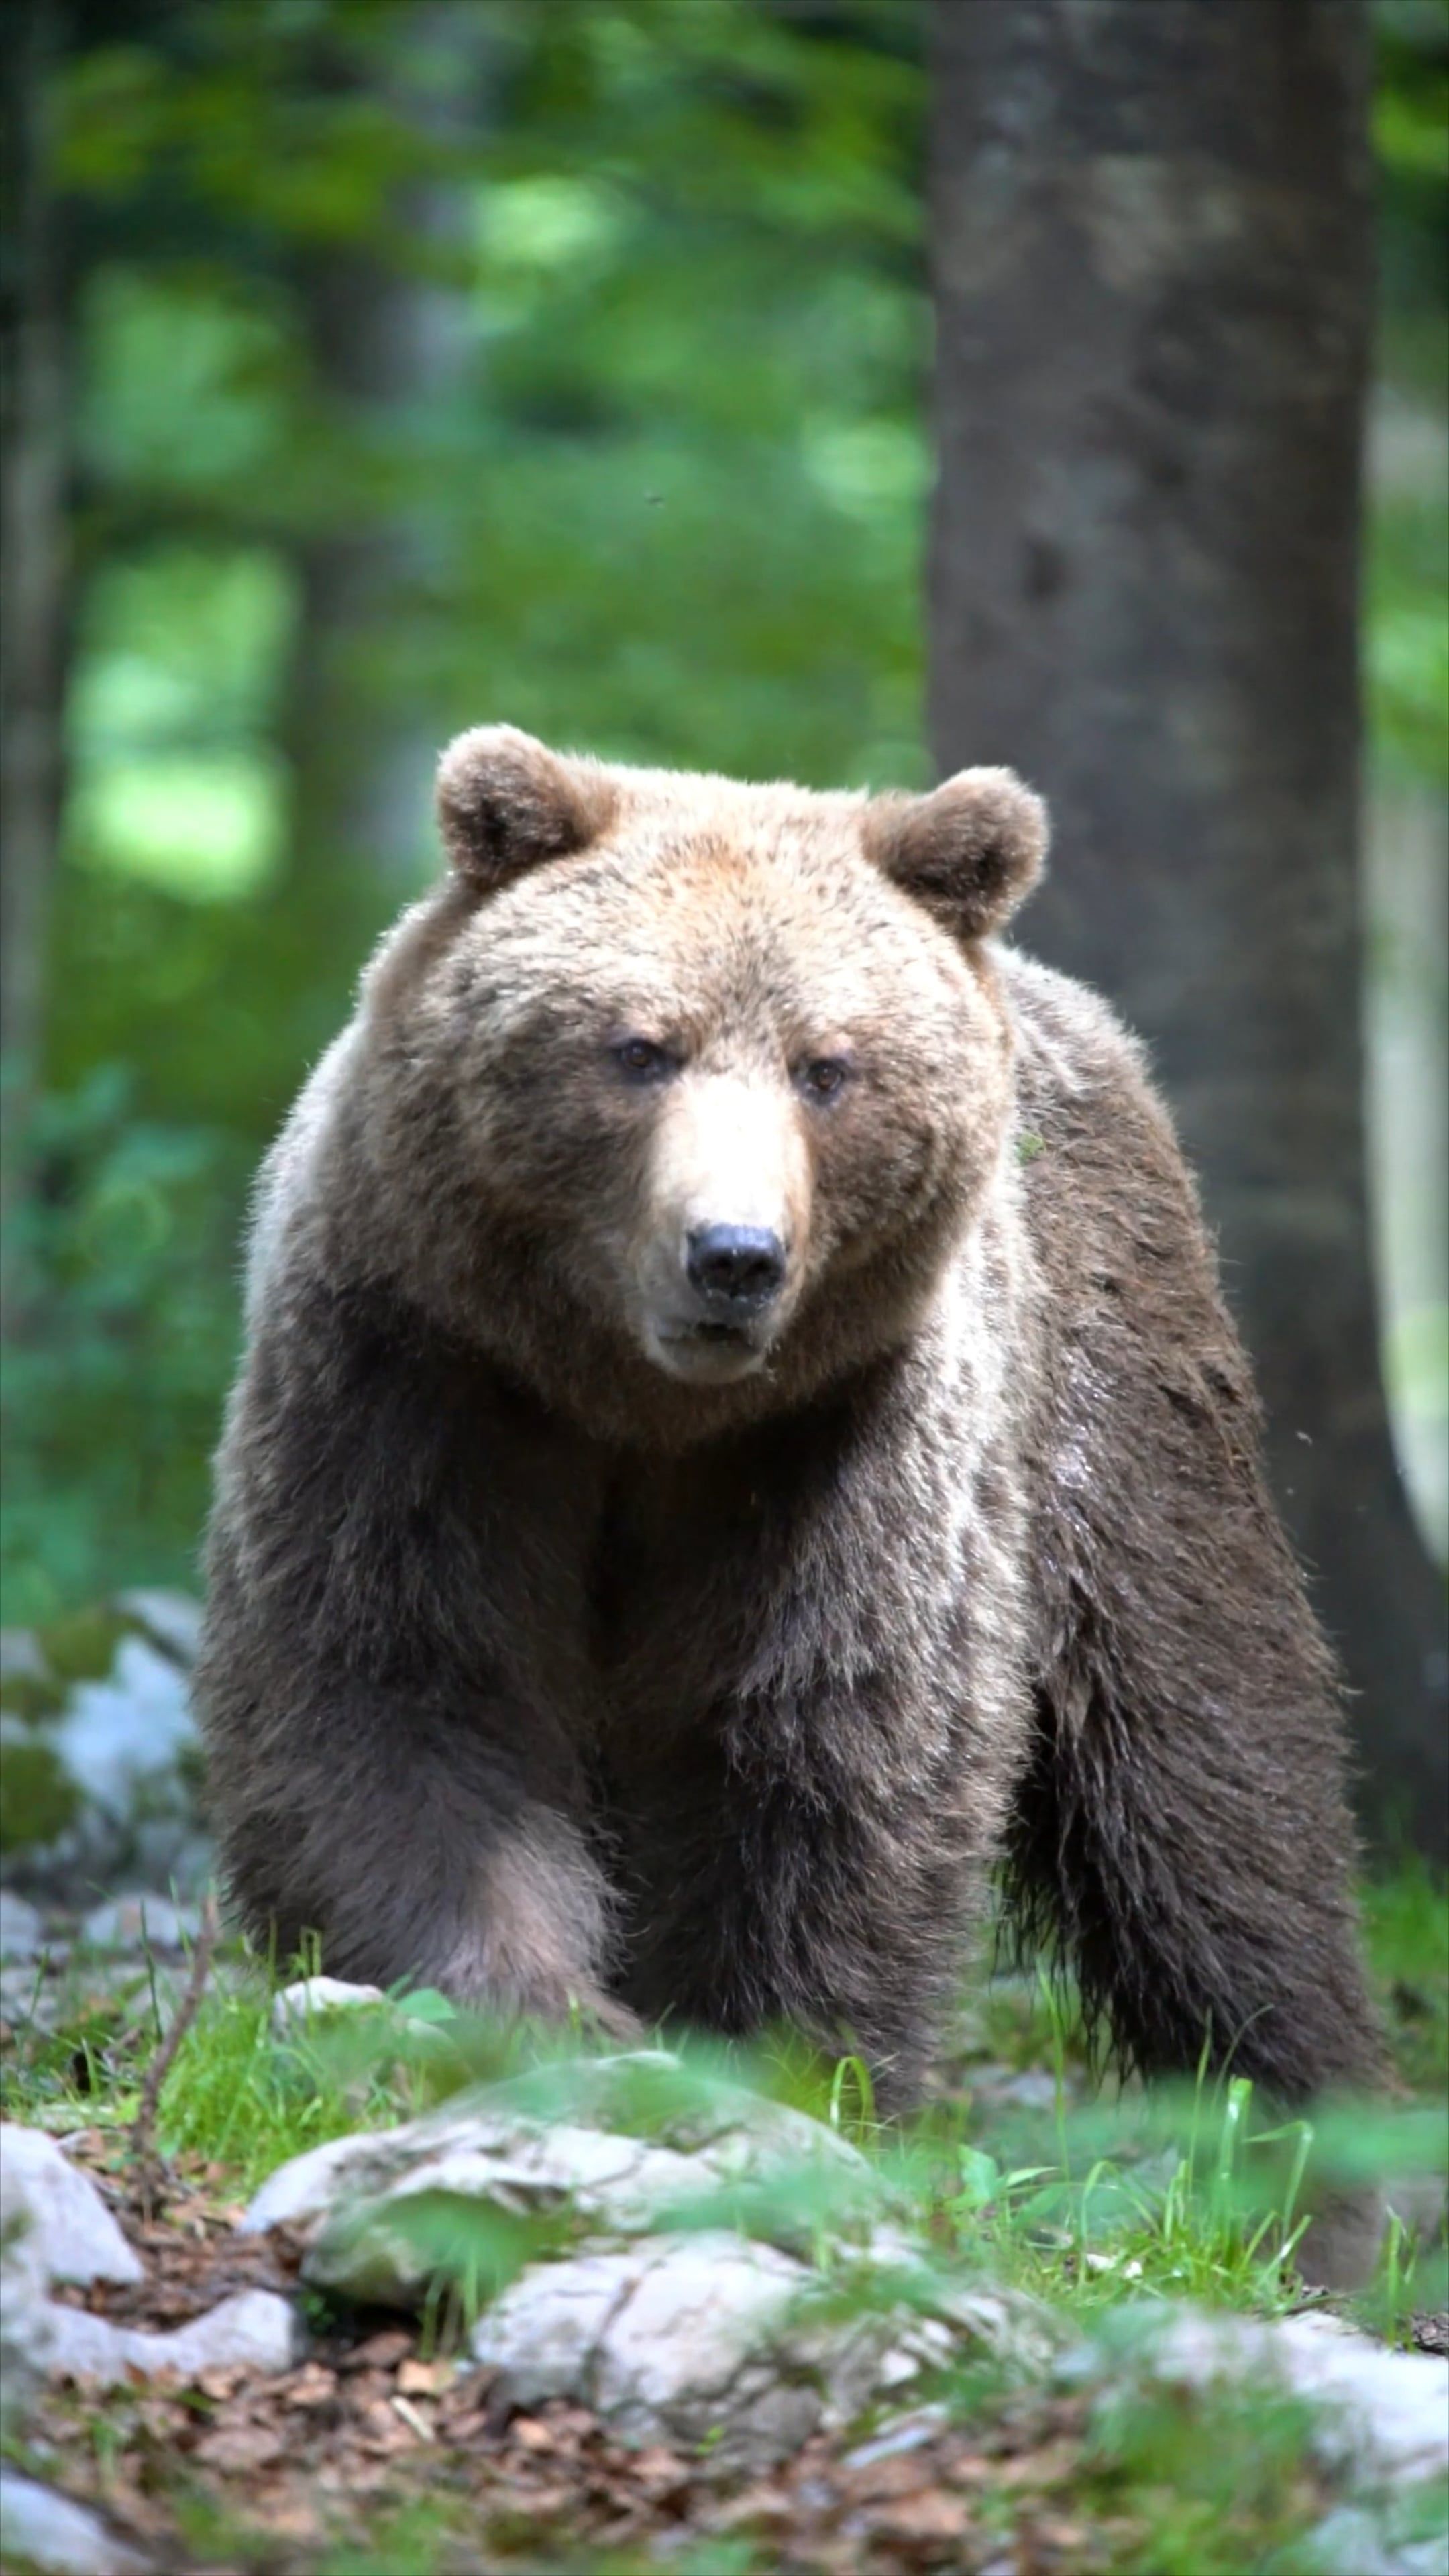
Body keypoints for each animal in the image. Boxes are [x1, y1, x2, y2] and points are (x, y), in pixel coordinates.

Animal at [196, 723, 1386, 2132]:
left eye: (829, 1067)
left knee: (1211, 1778)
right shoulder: (423, 1382)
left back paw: (1315, 2123)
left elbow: (831, 1740)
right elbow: (397, 1680)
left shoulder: (837, 1444)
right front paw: (534, 2010)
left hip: (1118, 1403)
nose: (734, 1255)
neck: (639, 1406)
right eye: (639, 1047)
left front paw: (784, 2063)